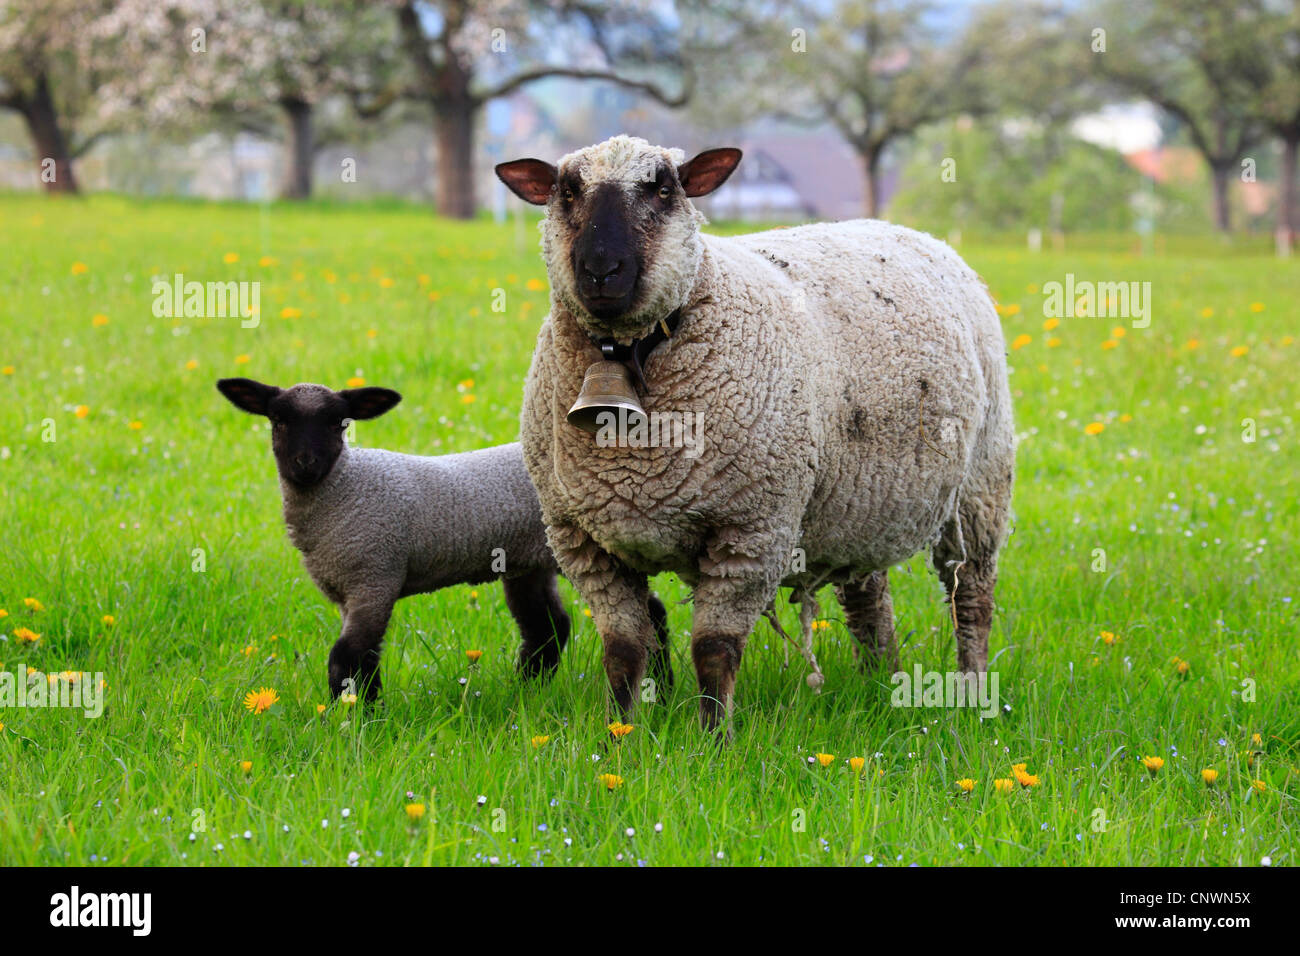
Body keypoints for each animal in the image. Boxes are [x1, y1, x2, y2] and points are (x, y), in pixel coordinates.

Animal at [216, 377, 673, 701]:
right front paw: (363, 710)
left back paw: (662, 691)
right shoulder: (351, 590)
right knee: (547, 628)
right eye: (278, 421)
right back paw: (526, 692)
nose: (305, 464)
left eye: (338, 423)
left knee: (648, 615)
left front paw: (361, 717)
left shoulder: (375, 576)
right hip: (528, 561)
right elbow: (360, 658)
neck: (345, 487)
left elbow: (348, 657)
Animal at [496, 135, 1015, 733]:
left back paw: (972, 693)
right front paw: (619, 735)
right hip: (860, 501)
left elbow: (713, 649)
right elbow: (623, 650)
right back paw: (879, 681)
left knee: (972, 597)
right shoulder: (584, 542)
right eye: (566, 191)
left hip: (981, 485)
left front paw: (713, 739)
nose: (601, 269)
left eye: (664, 189)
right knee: (868, 601)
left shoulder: (751, 531)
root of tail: (907, 230)